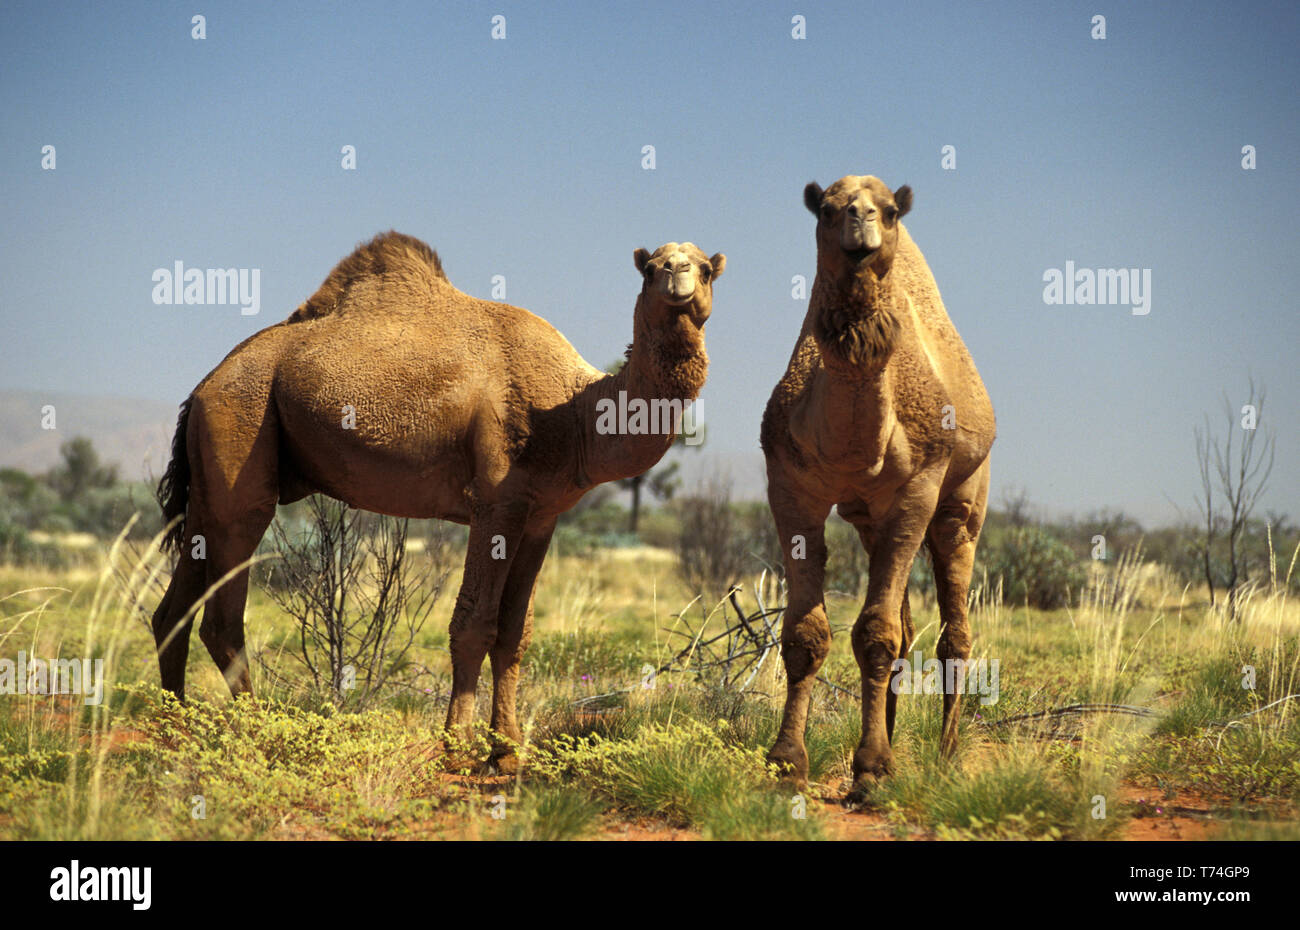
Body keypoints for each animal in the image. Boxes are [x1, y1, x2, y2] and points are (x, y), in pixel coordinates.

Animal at [152, 231, 725, 770]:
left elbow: (515, 631)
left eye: (704, 268)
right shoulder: (496, 502)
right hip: (241, 433)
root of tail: (202, 388)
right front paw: (457, 747)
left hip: (210, 482)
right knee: (223, 615)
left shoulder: (541, 516)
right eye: (651, 268)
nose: (677, 277)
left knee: (171, 612)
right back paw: (257, 733)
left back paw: (173, 733)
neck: (573, 413)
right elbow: (473, 623)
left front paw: (507, 750)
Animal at [759, 175, 994, 797]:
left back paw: (945, 753)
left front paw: (869, 770)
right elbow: (807, 634)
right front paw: (787, 761)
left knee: (952, 630)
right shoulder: (790, 488)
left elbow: (873, 634)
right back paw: (889, 734)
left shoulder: (917, 490)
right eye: (826, 209)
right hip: (867, 518)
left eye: (888, 211)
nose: (860, 221)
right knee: (906, 629)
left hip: (964, 497)